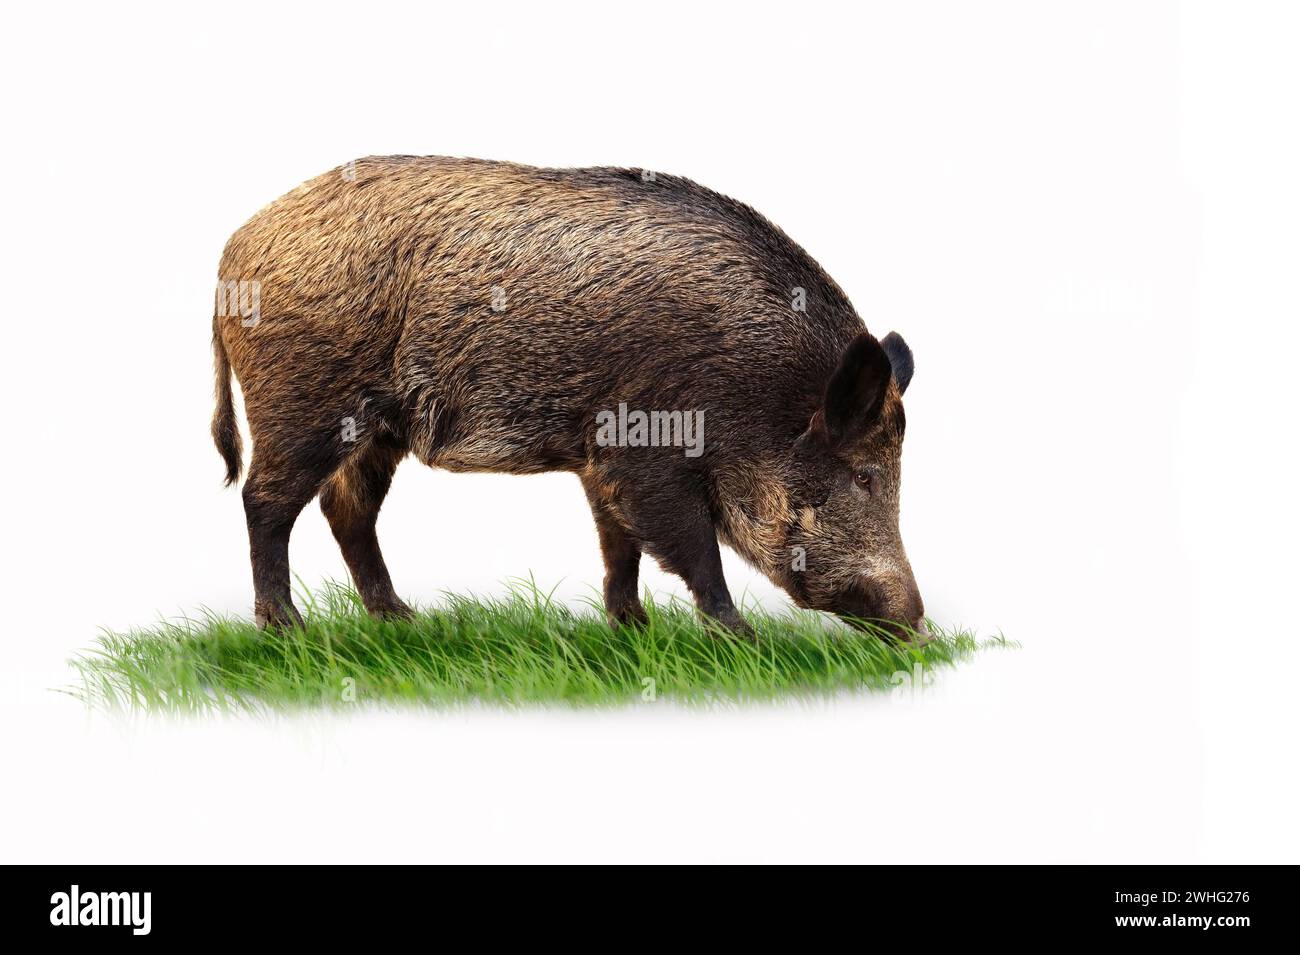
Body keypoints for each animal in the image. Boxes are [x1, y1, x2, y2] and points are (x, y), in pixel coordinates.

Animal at [211, 156, 924, 638]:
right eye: (864, 475)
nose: (917, 627)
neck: (757, 392)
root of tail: (233, 252)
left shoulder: (602, 460)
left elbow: (619, 544)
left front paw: (632, 631)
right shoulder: (648, 449)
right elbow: (692, 547)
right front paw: (743, 642)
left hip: (378, 428)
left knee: (347, 511)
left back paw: (402, 621)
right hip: (302, 403)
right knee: (264, 502)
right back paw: (287, 630)